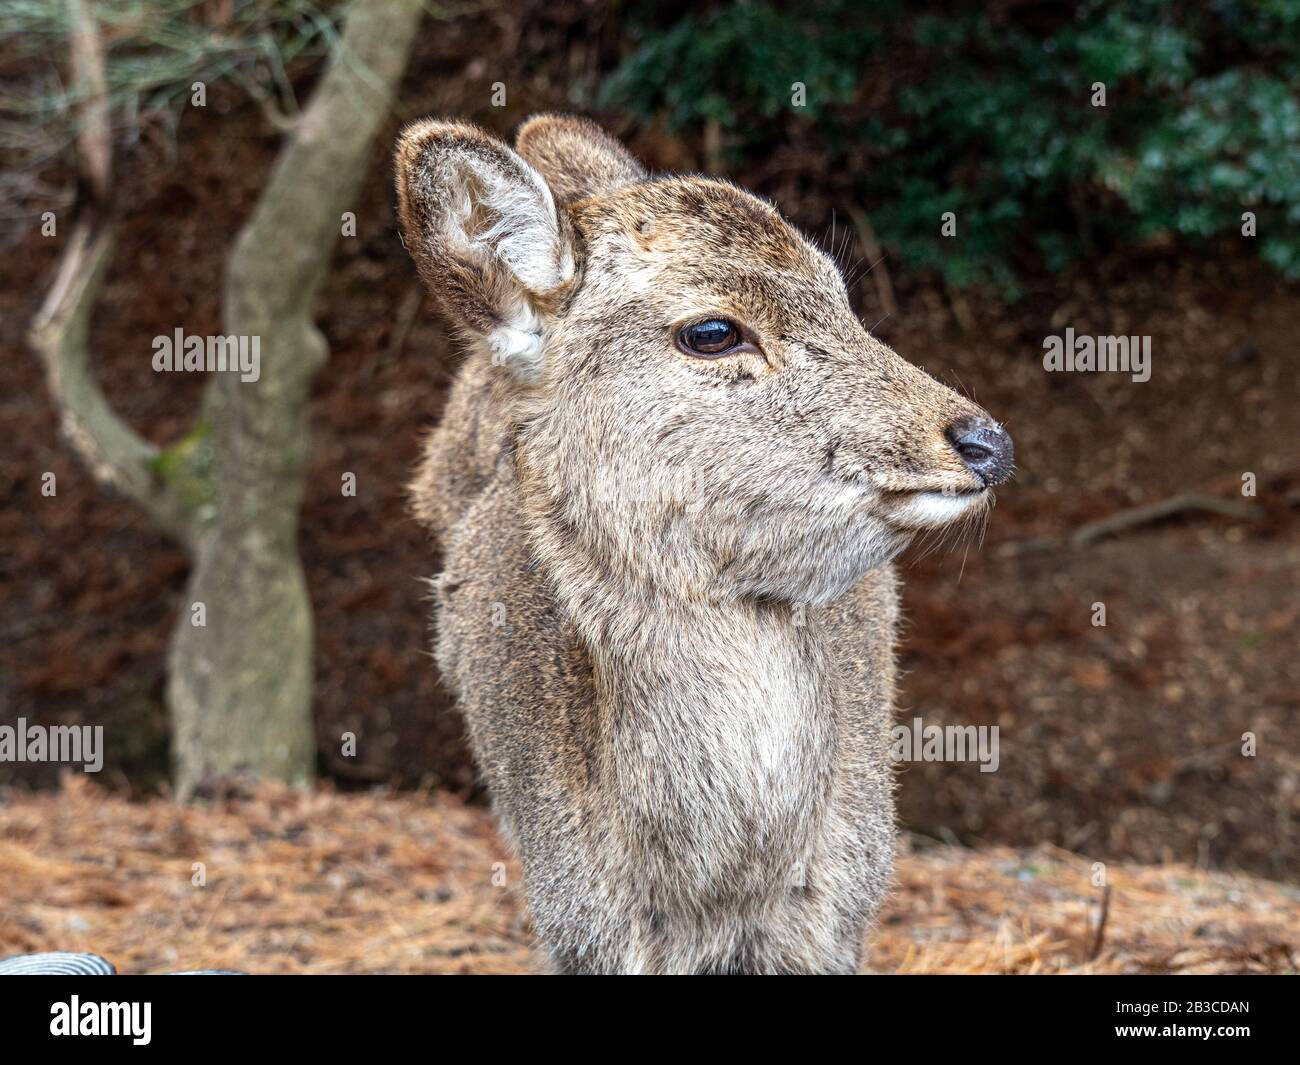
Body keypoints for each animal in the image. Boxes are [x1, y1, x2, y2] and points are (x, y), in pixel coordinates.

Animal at [394, 114, 1013, 974]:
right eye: (713, 331)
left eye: (844, 301)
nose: (986, 441)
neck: (719, 894)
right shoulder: (574, 907)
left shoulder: (847, 899)